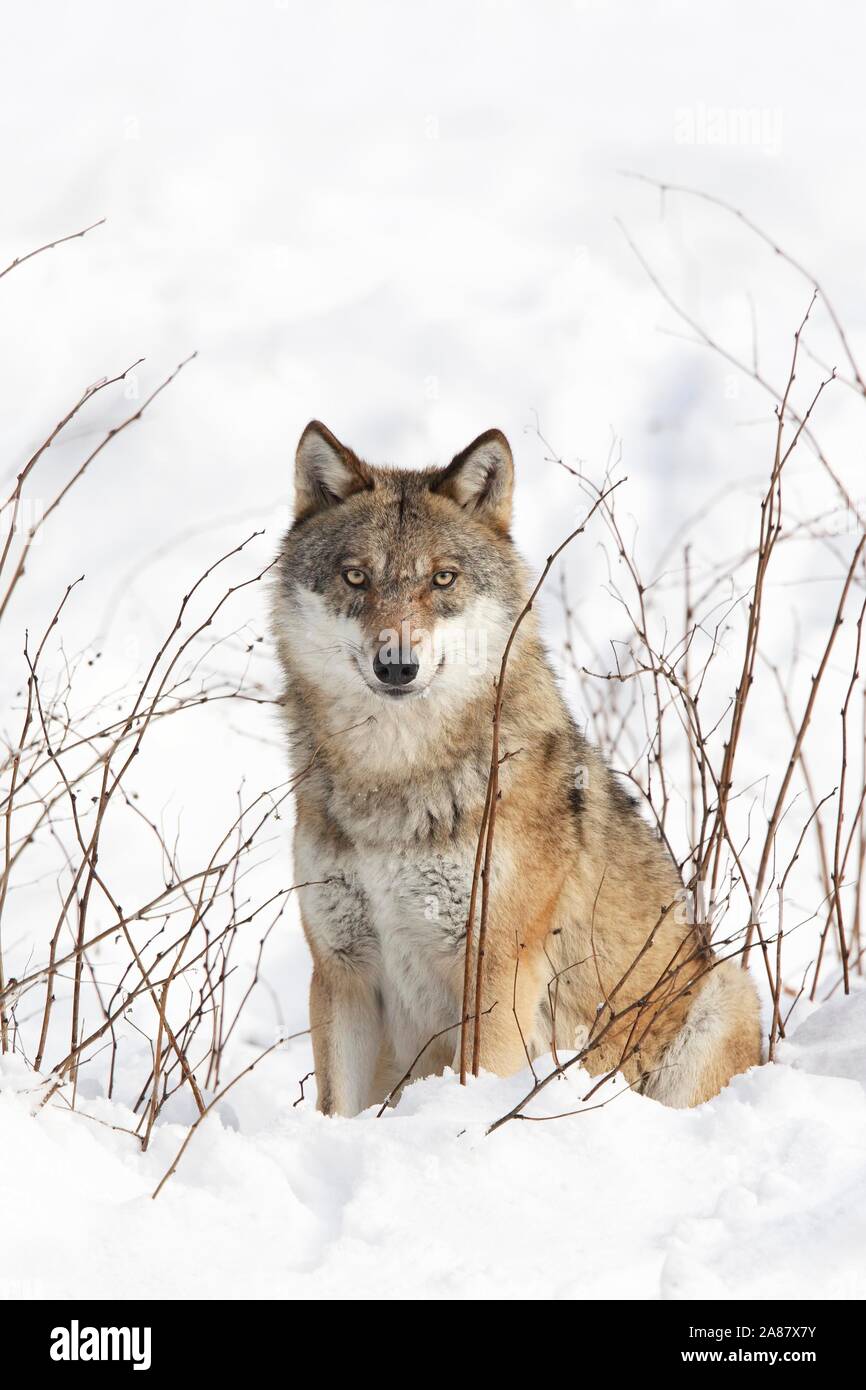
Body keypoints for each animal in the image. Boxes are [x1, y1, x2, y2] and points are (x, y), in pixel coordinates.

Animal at [271, 421, 762, 1116]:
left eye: (443, 579)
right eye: (356, 577)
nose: (396, 666)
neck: (394, 778)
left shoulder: (497, 971)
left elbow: (482, 1077)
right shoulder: (343, 974)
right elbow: (338, 1106)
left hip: (725, 992)